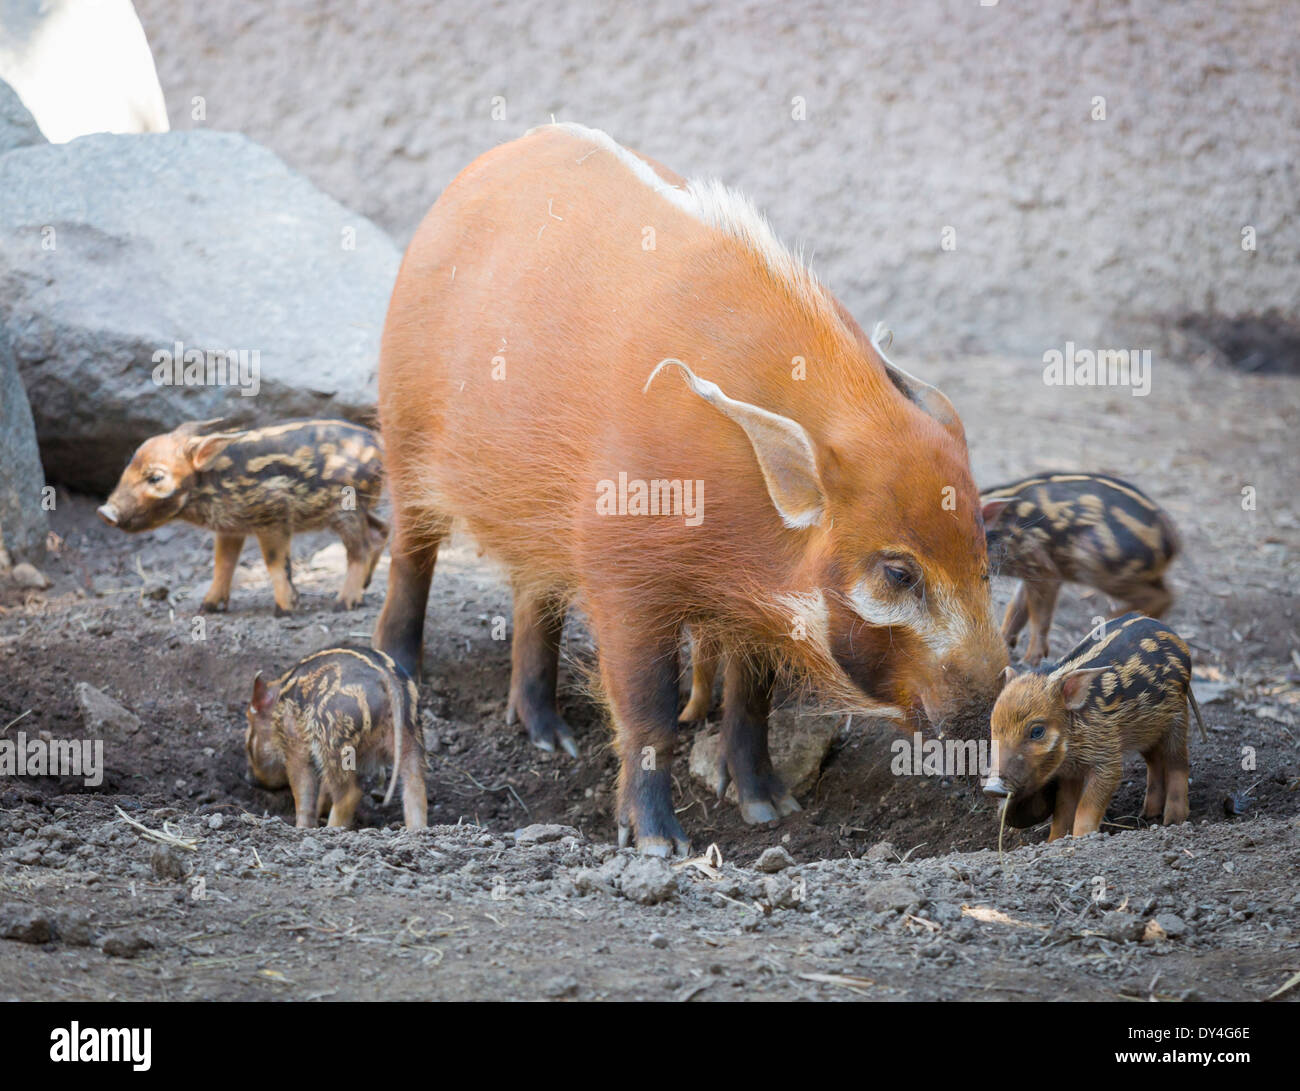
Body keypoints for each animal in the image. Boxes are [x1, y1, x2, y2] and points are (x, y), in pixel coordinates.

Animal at [98, 418, 388, 614]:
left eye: (156, 477)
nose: (105, 512)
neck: (212, 483)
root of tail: (380, 447)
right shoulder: (230, 529)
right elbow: (223, 564)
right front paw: (207, 607)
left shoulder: (273, 516)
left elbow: (275, 562)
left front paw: (285, 610)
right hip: (360, 509)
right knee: (381, 531)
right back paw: (363, 589)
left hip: (347, 510)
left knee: (361, 548)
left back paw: (344, 602)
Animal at [244, 646, 427, 829]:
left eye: (249, 742)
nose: (250, 778)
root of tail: (389, 681)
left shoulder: (295, 745)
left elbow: (302, 790)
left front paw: (302, 827)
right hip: (410, 735)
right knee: (415, 785)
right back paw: (415, 829)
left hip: (335, 743)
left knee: (350, 794)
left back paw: (332, 828)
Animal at [373, 122, 1008, 855]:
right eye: (898, 572)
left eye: (985, 560)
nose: (987, 725)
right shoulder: (623, 575)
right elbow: (648, 712)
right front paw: (659, 843)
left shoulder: (752, 603)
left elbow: (751, 701)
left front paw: (770, 808)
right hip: (402, 437)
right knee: (410, 555)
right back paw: (402, 668)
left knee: (535, 596)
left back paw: (552, 739)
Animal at [980, 472, 1179, 665]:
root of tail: (1172, 540)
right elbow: (1017, 607)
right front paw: (1004, 643)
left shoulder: (1042, 567)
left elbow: (1039, 615)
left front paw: (1029, 660)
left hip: (1101, 567)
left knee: (1163, 597)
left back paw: (1109, 618)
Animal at [982, 612, 1206, 840]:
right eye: (994, 727)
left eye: (1037, 731)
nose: (991, 788)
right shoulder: (1069, 772)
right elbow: (1064, 808)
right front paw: (1054, 841)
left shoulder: (1107, 757)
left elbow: (1087, 806)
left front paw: (1082, 838)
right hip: (1148, 731)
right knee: (1154, 762)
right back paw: (1148, 815)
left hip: (1177, 716)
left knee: (1177, 761)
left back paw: (1173, 820)